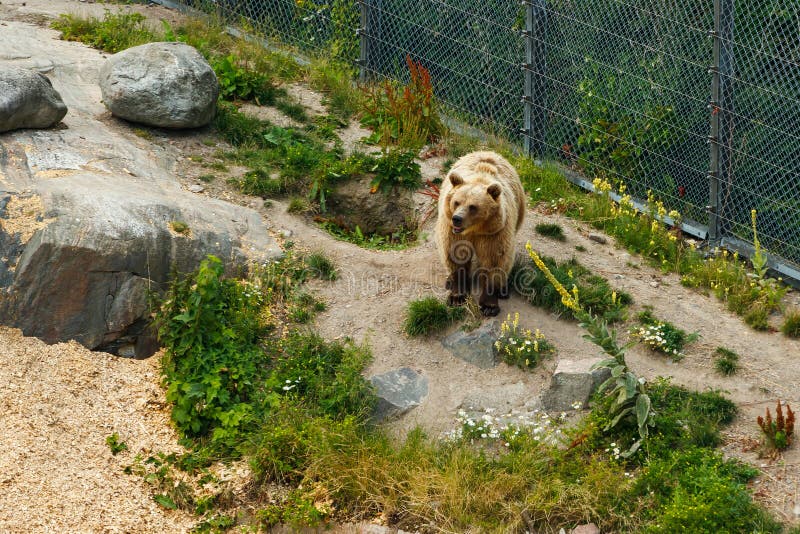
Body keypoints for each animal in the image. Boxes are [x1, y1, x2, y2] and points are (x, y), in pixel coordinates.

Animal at [436, 151, 526, 317]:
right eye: (456, 202)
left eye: (473, 207)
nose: (457, 219)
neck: (474, 230)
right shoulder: (453, 232)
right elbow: (456, 256)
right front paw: (457, 297)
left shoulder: (494, 233)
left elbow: (494, 262)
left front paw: (489, 306)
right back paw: (448, 281)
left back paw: (503, 289)